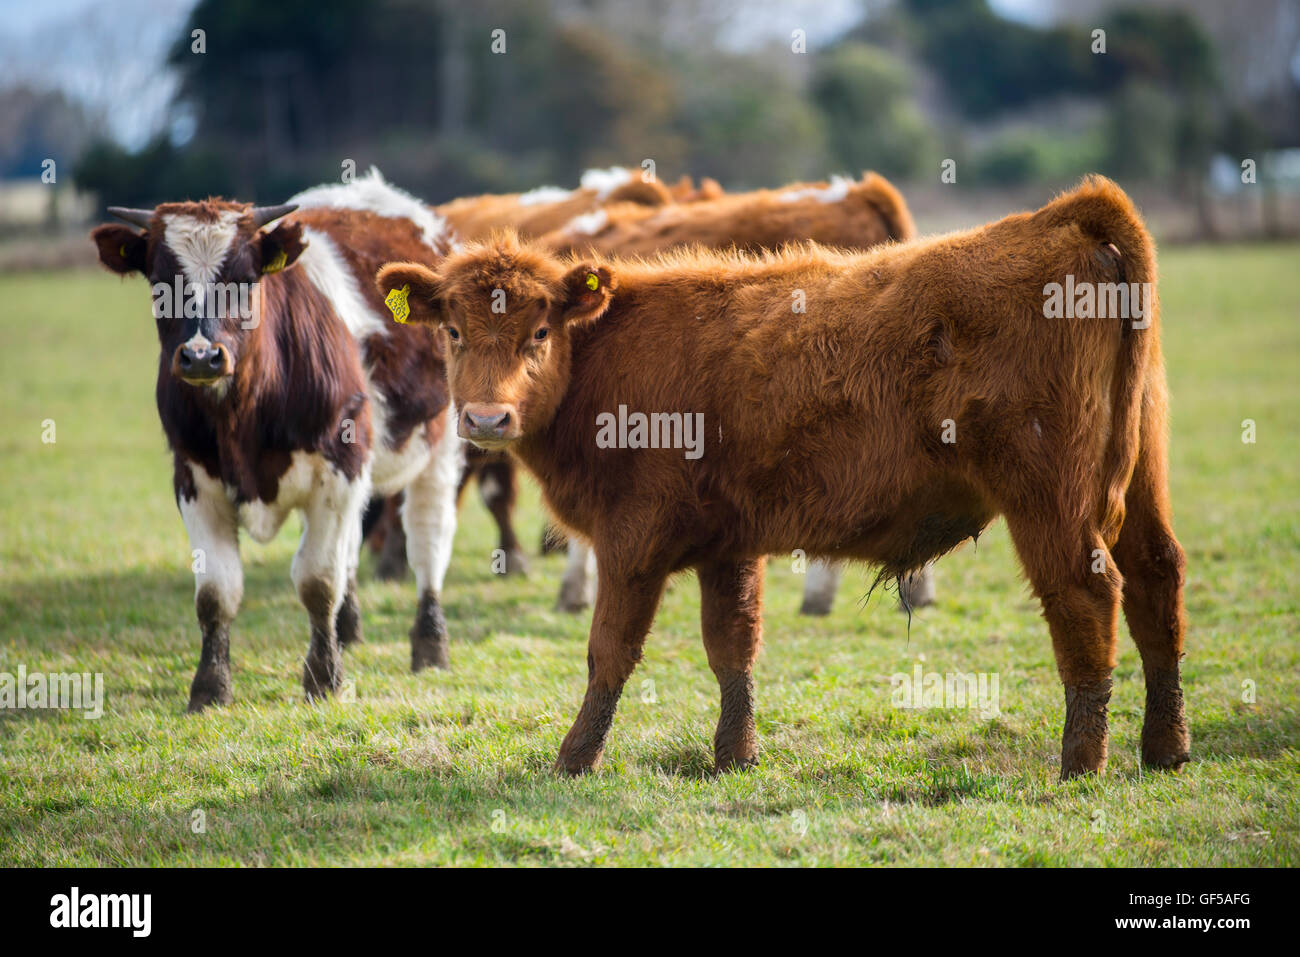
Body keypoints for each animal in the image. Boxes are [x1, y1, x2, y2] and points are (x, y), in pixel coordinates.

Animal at [90, 169, 462, 712]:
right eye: (161, 283)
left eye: (245, 280)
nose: (200, 357)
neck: (242, 412)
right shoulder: (194, 477)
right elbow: (216, 592)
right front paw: (210, 686)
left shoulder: (340, 466)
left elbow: (317, 581)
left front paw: (325, 678)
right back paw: (349, 631)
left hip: (441, 446)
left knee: (429, 539)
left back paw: (429, 643)